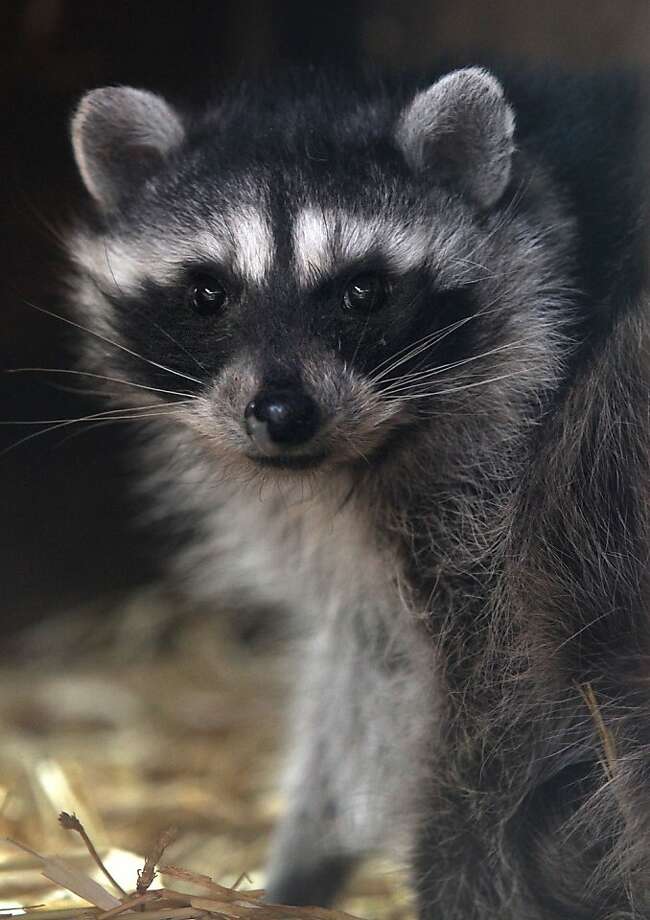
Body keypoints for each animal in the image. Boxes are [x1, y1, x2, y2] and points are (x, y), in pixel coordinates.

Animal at [65, 64, 649, 918]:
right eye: (208, 294)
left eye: (364, 292)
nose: (283, 413)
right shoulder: (358, 551)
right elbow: (358, 666)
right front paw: (306, 856)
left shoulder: (505, 487)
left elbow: (496, 708)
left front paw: (460, 870)